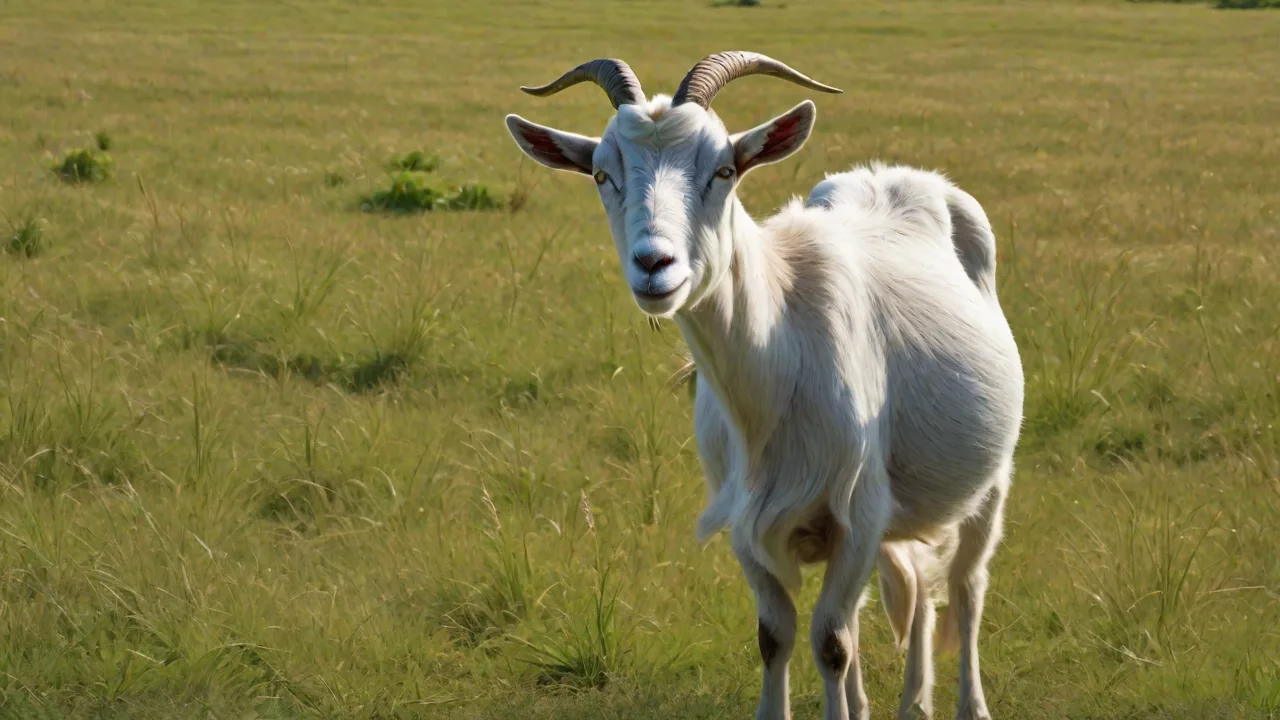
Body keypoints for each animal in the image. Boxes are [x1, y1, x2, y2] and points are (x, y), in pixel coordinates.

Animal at [504, 52, 1024, 720]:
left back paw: (967, 703)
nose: (654, 265)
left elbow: (830, 642)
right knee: (906, 592)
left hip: (990, 480)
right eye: (600, 173)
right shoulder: (748, 519)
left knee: (965, 585)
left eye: (725, 169)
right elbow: (777, 636)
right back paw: (908, 704)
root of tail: (908, 178)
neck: (781, 362)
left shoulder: (858, 512)